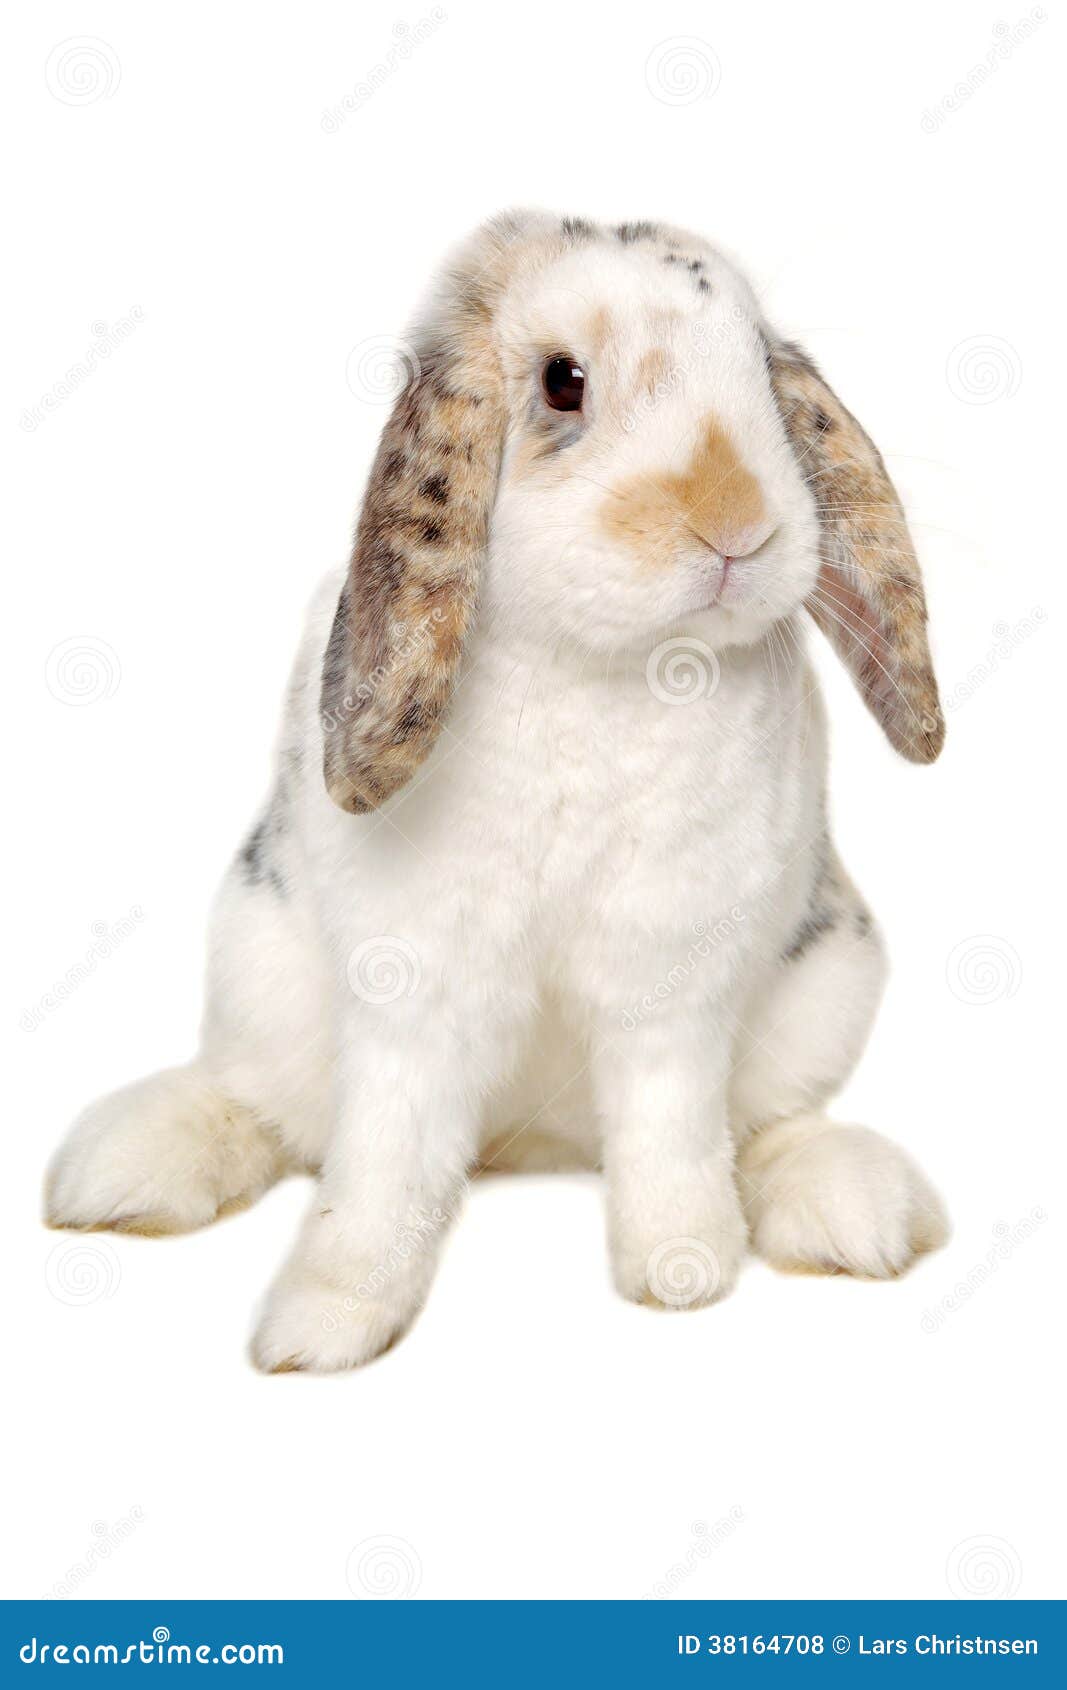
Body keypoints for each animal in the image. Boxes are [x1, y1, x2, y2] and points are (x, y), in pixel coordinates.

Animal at [46, 210, 949, 1372]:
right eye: (562, 382)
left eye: (757, 367)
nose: (735, 526)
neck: (607, 664)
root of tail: (527, 1143)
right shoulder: (419, 978)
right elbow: (385, 1154)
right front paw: (323, 1323)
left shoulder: (670, 975)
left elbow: (668, 1120)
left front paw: (683, 1266)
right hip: (257, 972)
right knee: (264, 1107)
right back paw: (123, 1168)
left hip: (828, 983)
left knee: (766, 1124)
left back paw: (851, 1206)